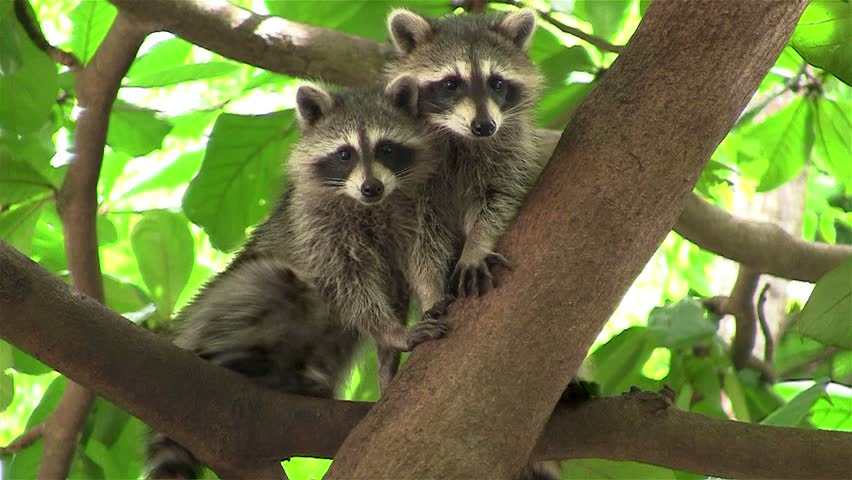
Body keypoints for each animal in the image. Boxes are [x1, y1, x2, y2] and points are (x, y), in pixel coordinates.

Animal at [146, 78, 446, 479]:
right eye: (345, 154)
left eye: (386, 148)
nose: (371, 188)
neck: (368, 206)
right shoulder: (316, 227)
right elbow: (349, 286)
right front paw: (392, 332)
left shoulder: (404, 221)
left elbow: (398, 283)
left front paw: (388, 361)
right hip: (220, 304)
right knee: (276, 281)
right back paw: (231, 357)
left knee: (339, 334)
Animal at [385, 8, 544, 311]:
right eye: (450, 84)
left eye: (497, 83)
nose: (484, 126)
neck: (458, 136)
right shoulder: (409, 174)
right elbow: (420, 234)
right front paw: (429, 287)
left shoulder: (510, 148)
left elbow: (499, 196)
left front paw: (476, 245)